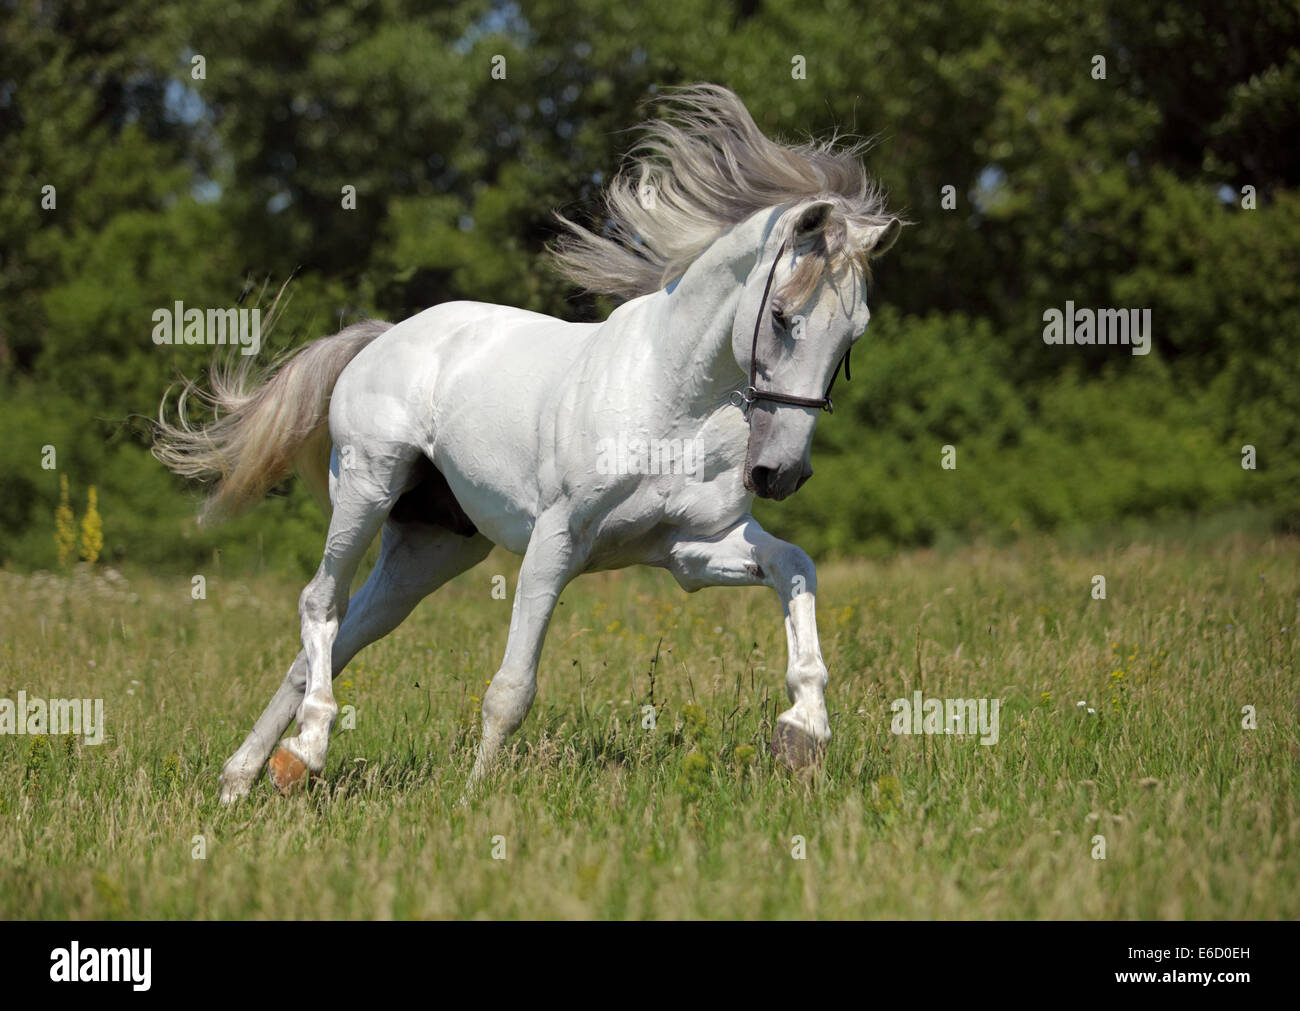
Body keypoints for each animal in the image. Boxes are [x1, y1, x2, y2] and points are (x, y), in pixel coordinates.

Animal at [153, 84, 902, 802]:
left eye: (854, 336)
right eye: (779, 317)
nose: (781, 473)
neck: (672, 403)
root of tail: (384, 336)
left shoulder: (689, 549)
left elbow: (796, 565)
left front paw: (803, 733)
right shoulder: (557, 539)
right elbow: (512, 689)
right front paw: (474, 800)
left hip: (431, 549)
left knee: (339, 639)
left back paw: (244, 778)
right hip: (367, 489)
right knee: (320, 605)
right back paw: (303, 751)